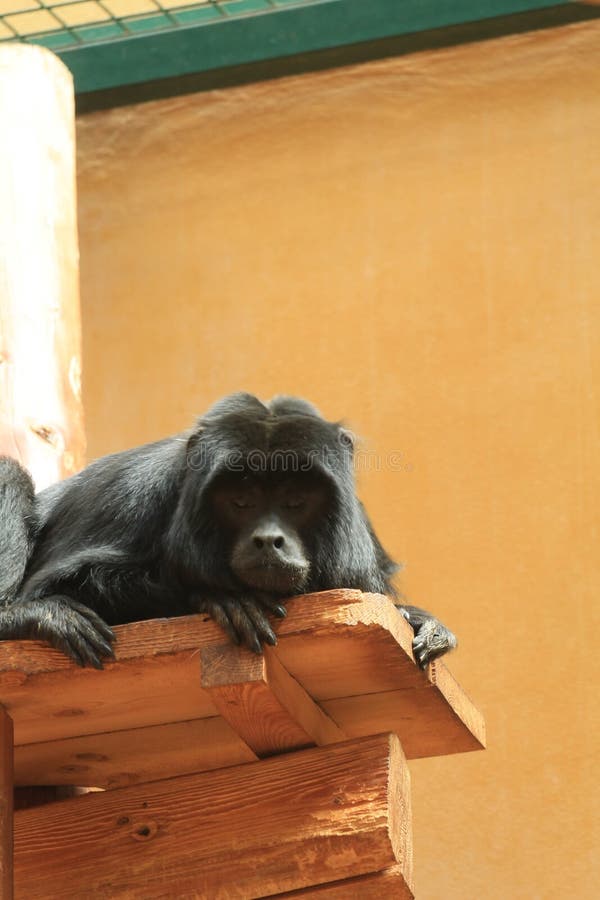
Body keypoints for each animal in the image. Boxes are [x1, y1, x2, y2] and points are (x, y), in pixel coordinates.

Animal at [0, 393, 456, 668]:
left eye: (295, 500)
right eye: (241, 501)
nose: (268, 540)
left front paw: (418, 619)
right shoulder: (137, 499)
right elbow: (59, 584)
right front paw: (225, 596)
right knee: (11, 474)